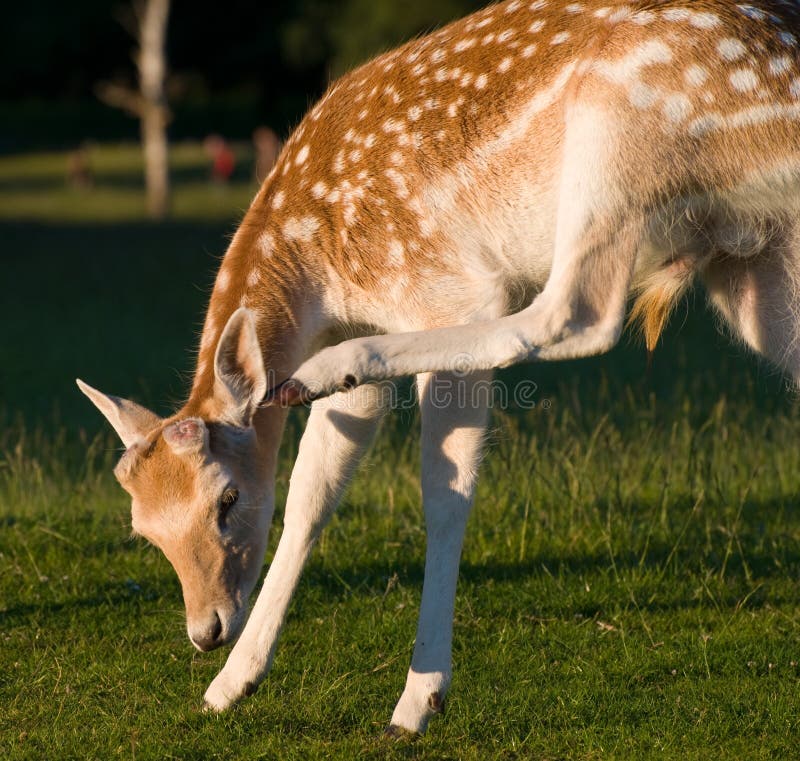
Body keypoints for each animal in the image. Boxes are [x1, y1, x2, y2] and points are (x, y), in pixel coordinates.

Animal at [78, 0, 800, 736]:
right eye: (142, 529)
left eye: (225, 499)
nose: (206, 630)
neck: (321, 279)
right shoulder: (364, 332)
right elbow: (312, 489)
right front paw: (231, 684)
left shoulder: (437, 288)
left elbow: (445, 491)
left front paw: (418, 699)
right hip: (756, 270)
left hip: (616, 136)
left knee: (576, 311)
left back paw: (336, 366)